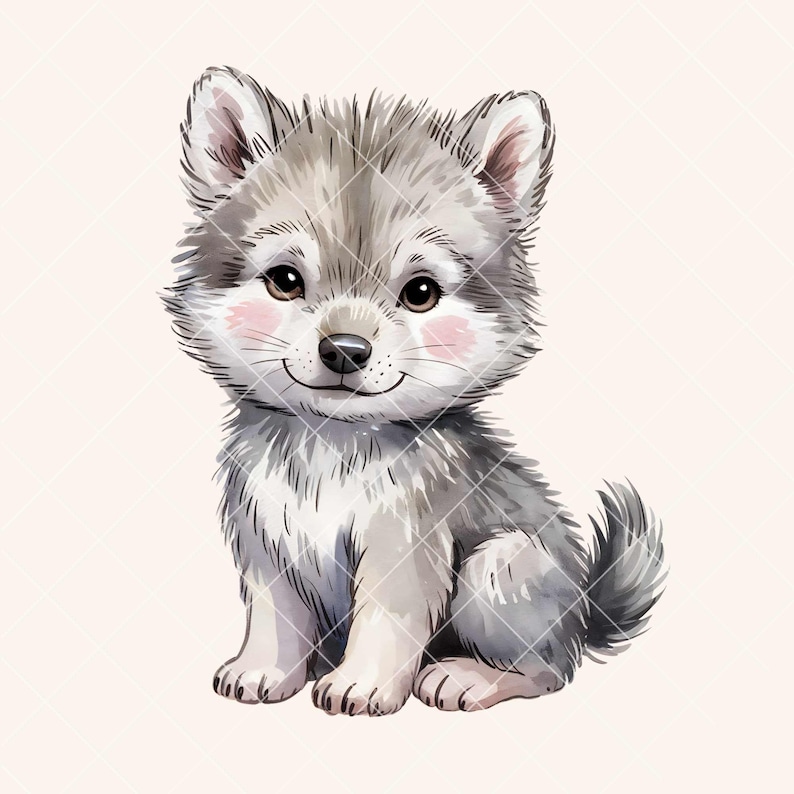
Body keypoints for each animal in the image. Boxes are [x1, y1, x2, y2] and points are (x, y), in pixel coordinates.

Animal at [163, 66, 666, 715]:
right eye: (284, 280)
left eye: (420, 292)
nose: (344, 349)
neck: (332, 445)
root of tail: (586, 615)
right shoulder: (267, 543)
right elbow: (276, 619)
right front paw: (264, 671)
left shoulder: (403, 550)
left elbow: (386, 620)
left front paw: (361, 684)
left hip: (502, 568)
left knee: (549, 669)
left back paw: (469, 677)